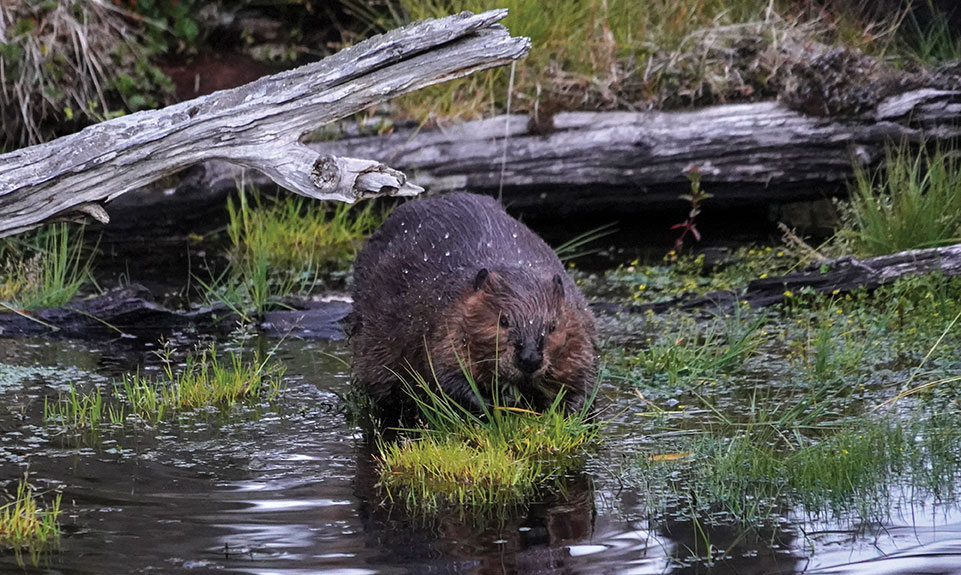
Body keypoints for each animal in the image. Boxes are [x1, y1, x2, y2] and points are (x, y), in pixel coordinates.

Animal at [349, 193, 598, 419]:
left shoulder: (579, 326)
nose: (529, 359)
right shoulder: (445, 322)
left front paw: (566, 411)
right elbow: (444, 378)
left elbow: (585, 381)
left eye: (553, 326)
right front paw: (499, 404)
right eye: (503, 320)